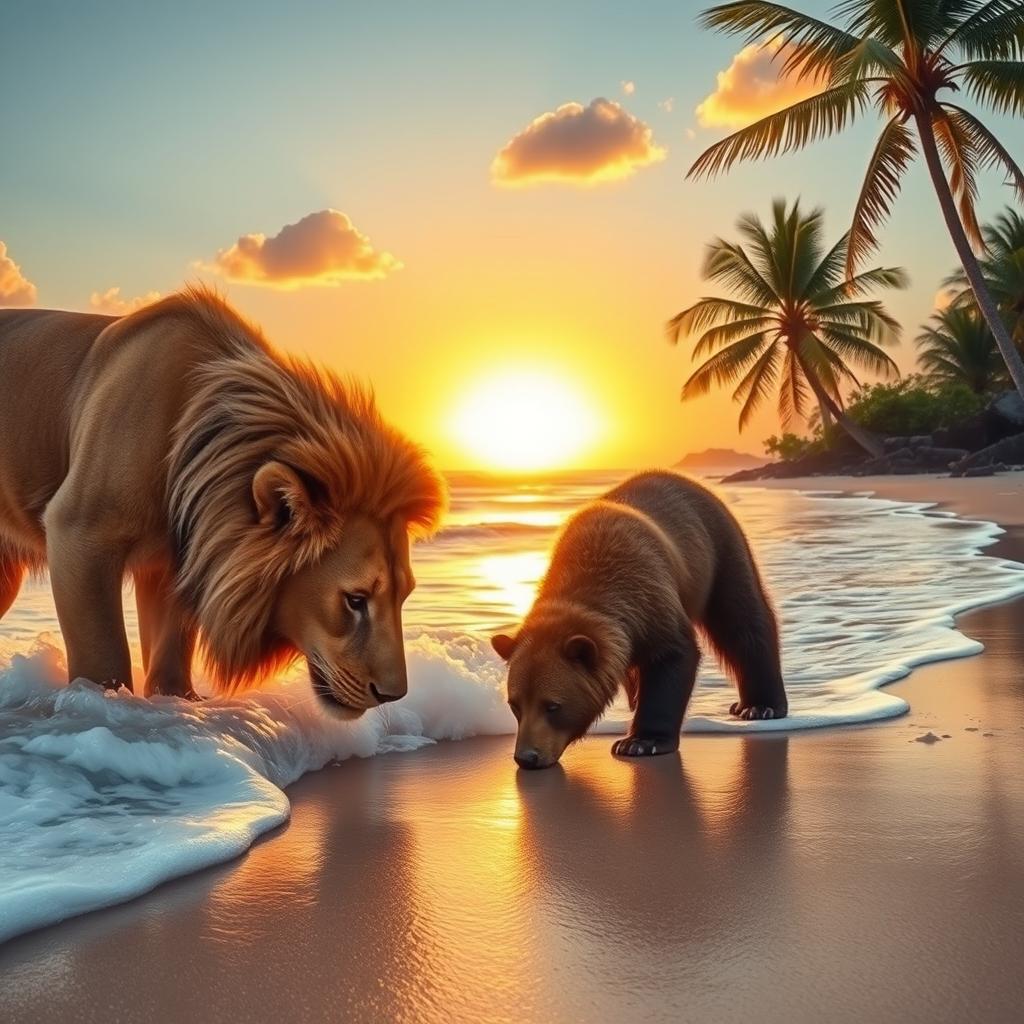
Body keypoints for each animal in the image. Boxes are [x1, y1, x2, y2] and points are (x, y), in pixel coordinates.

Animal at [0, 288, 446, 713]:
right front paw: (103, 706)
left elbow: (170, 652)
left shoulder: (174, 564)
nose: (392, 696)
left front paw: (179, 703)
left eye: (405, 595)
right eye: (355, 600)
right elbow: (103, 655)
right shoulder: (78, 532)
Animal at [491, 470, 787, 769]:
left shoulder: (649, 598)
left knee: (743, 620)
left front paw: (640, 741)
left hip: (719, 549)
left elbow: (671, 657)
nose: (527, 757)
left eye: (552, 705)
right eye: (515, 704)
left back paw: (759, 706)